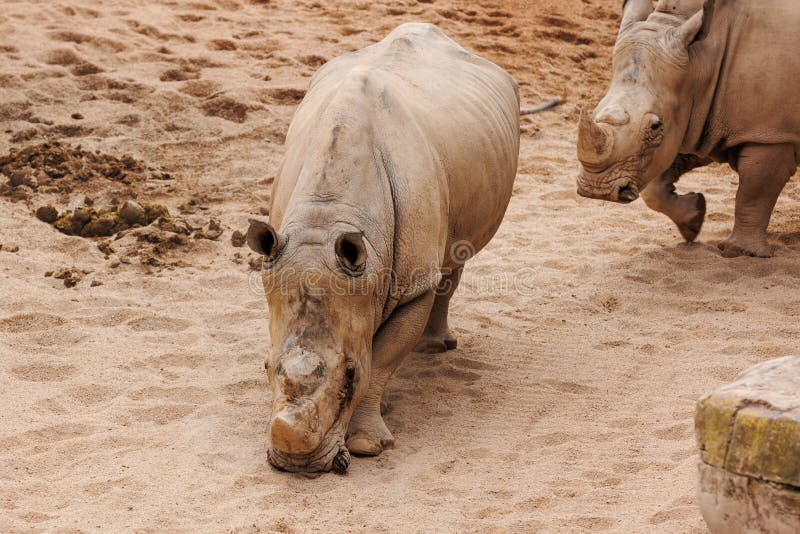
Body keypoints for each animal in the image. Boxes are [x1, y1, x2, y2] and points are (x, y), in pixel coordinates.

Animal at [246, 23, 521, 473]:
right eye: (267, 367)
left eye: (350, 375)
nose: (297, 465)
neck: (327, 217)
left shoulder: (411, 284)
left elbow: (382, 358)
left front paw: (365, 445)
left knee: (451, 264)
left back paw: (434, 348)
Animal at [576, 0, 800, 257]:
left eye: (655, 126)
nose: (596, 189)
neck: (702, 60)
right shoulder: (698, 118)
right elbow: (655, 187)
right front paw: (693, 220)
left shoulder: (771, 135)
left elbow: (754, 192)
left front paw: (740, 252)